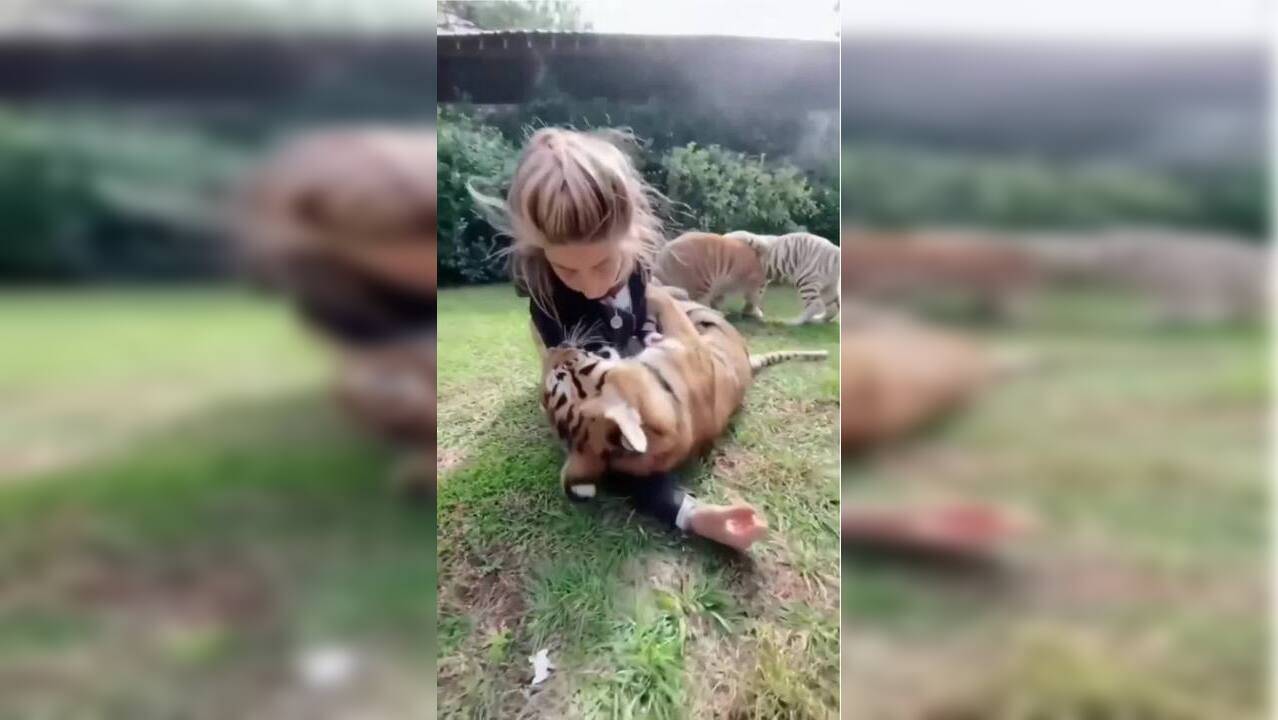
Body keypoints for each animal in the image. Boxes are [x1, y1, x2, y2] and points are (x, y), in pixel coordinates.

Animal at [541, 284, 827, 501]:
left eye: (559, 375)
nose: (554, 349)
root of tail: (748, 360)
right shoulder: (685, 336)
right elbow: (662, 300)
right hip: (697, 314)